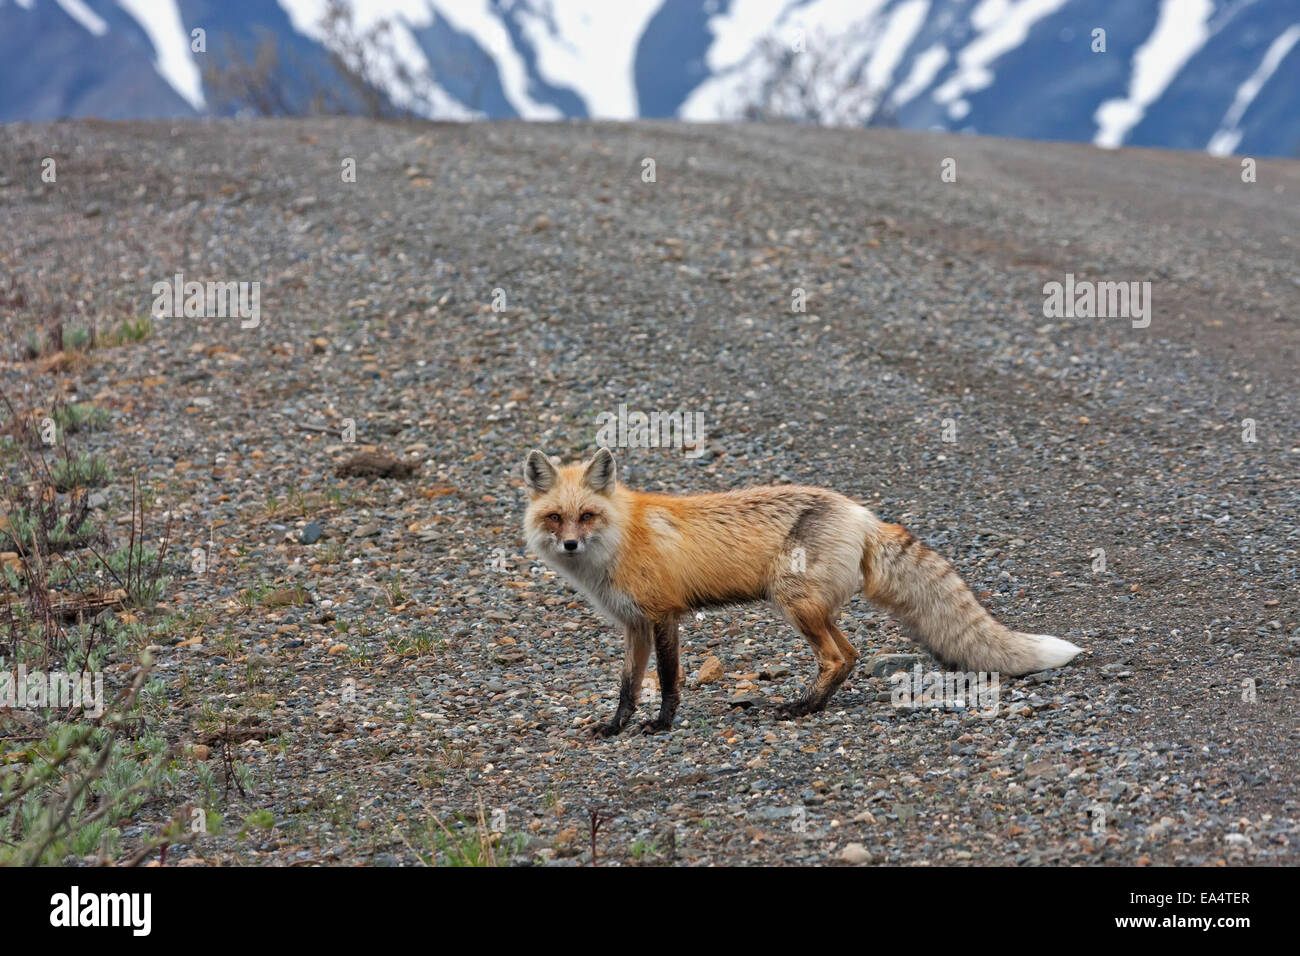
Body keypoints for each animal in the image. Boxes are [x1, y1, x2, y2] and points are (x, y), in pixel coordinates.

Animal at [522, 447, 1082, 737]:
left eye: (587, 515)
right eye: (555, 517)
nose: (570, 544)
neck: (620, 537)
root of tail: (863, 514)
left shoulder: (664, 616)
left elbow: (667, 680)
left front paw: (662, 725)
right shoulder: (633, 624)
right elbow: (627, 687)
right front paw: (615, 727)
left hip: (793, 602)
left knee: (835, 657)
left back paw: (798, 708)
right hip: (814, 607)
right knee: (851, 655)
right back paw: (813, 706)